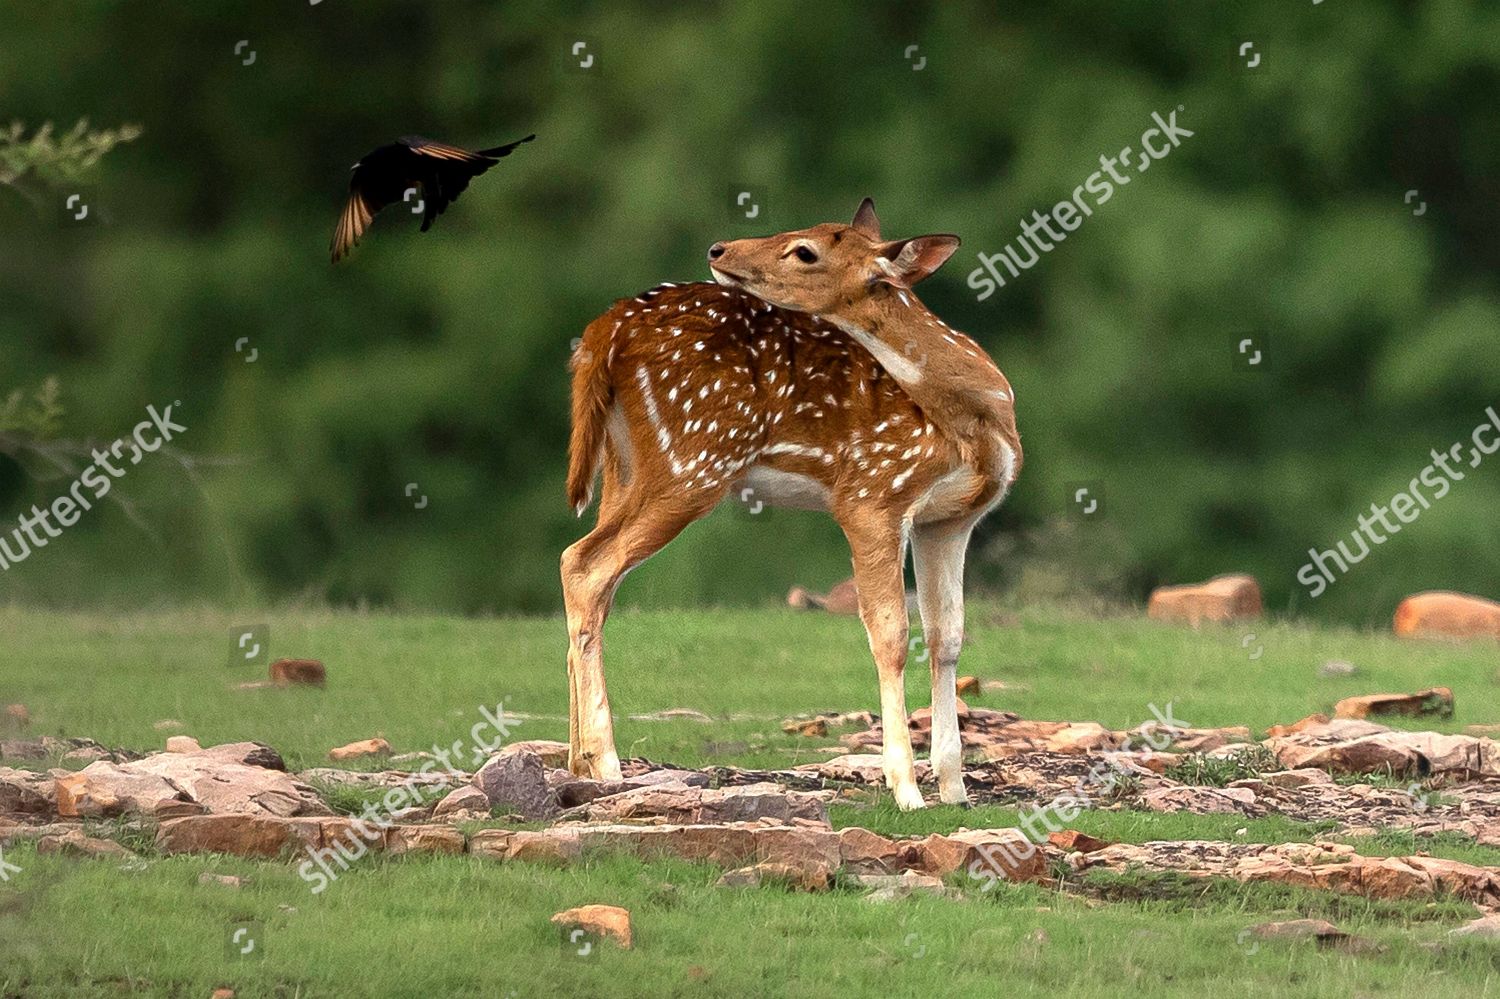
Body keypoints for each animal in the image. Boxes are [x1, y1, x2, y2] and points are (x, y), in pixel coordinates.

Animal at [562, 199, 1020, 809]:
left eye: (805, 249)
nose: (718, 248)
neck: (972, 421)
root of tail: (601, 330)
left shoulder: (949, 520)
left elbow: (947, 638)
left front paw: (954, 788)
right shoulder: (871, 494)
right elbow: (892, 636)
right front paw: (906, 789)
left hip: (626, 464)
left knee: (587, 570)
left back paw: (576, 761)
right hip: (693, 457)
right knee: (586, 566)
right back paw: (607, 762)